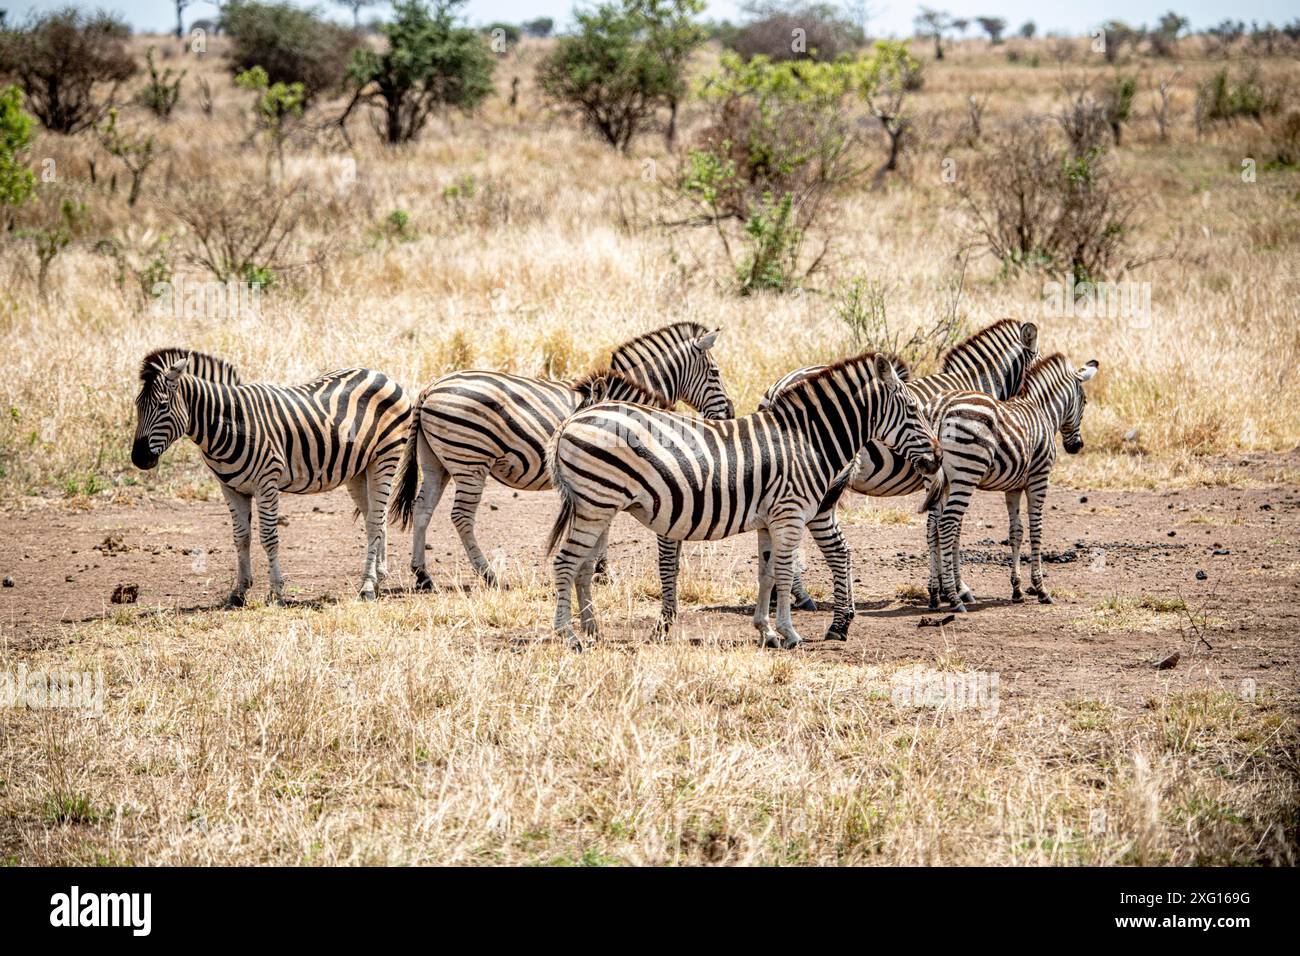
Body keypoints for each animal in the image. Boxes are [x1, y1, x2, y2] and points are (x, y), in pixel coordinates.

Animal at [131, 348, 412, 605]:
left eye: (163, 406)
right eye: (137, 406)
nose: (138, 458)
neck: (230, 423)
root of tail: (381, 374)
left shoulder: (266, 482)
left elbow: (268, 537)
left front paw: (277, 593)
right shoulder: (230, 488)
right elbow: (241, 538)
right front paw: (239, 592)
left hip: (385, 458)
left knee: (374, 522)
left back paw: (367, 587)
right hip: (357, 470)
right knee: (375, 518)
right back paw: (379, 577)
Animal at [387, 322, 735, 590]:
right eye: (716, 372)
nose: (729, 413)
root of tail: (429, 388)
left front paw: (598, 567)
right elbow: (605, 525)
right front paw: (602, 568)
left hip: (437, 461)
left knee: (422, 507)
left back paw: (422, 575)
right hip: (470, 460)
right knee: (460, 516)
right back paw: (489, 575)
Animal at [545, 352, 941, 651]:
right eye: (912, 409)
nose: (937, 458)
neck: (807, 440)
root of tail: (570, 424)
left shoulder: (770, 519)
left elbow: (767, 574)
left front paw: (766, 631)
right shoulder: (789, 514)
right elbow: (783, 573)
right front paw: (790, 633)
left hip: (596, 505)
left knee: (582, 566)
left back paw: (592, 632)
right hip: (596, 504)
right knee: (566, 562)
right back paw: (569, 636)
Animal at [760, 319, 1040, 609]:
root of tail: (778, 388)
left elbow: (938, 526)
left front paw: (942, 588)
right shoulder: (957, 472)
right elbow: (951, 528)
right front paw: (957, 589)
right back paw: (801, 595)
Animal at [920, 354, 1099, 611]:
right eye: (1084, 402)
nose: (1077, 446)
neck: (1043, 411)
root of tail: (940, 408)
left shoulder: (1013, 488)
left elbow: (1016, 532)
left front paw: (1017, 590)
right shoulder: (1039, 478)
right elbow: (1036, 529)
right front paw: (1041, 589)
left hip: (933, 477)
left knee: (932, 526)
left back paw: (935, 595)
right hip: (966, 474)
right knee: (946, 524)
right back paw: (954, 599)